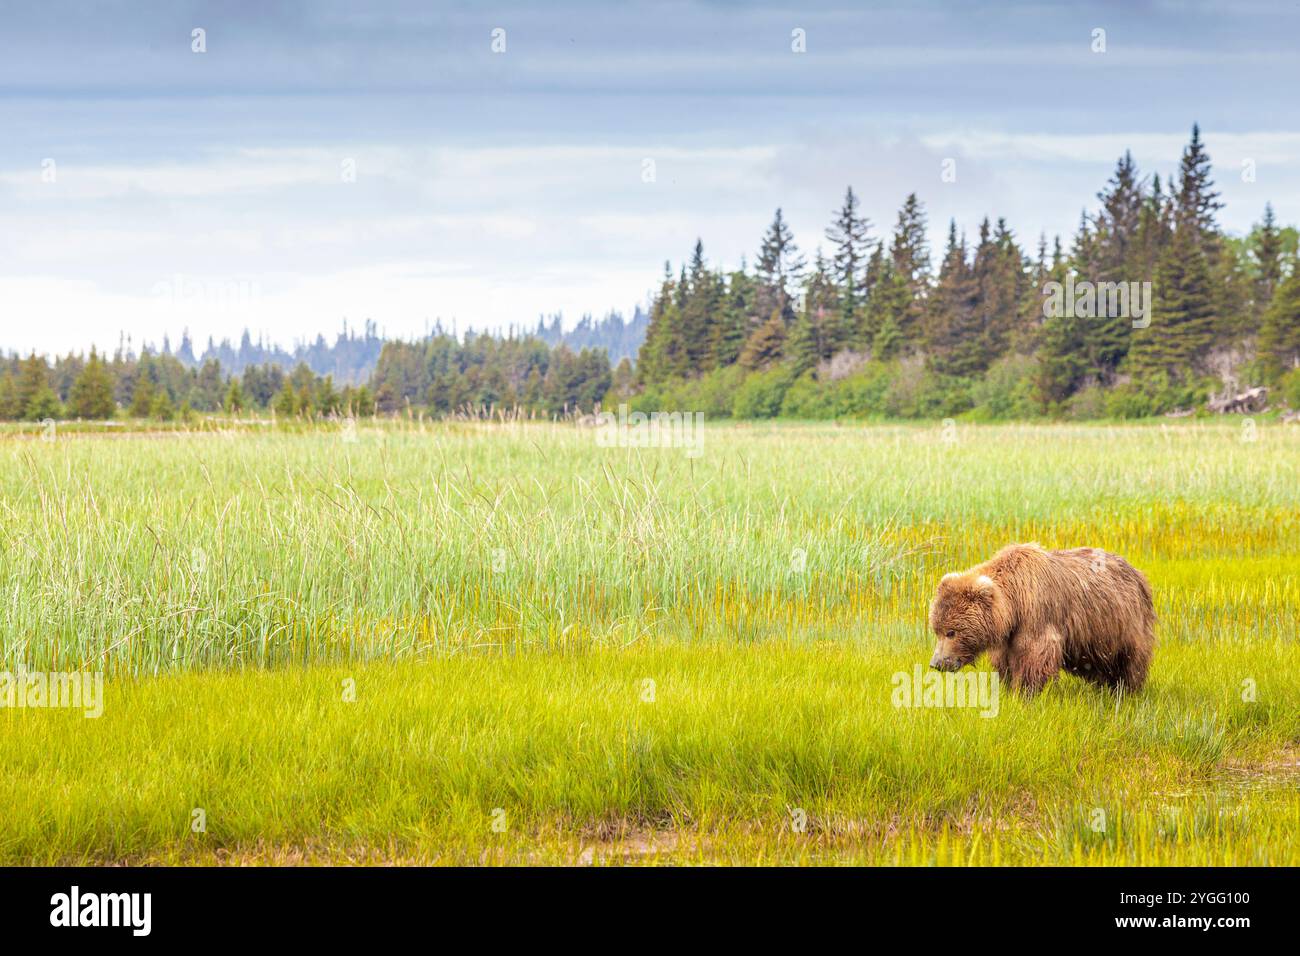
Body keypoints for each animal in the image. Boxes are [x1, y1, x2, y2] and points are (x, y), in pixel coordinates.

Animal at [928, 543, 1155, 694]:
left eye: (951, 632)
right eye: (936, 630)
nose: (937, 663)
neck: (1013, 603)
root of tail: (1138, 573)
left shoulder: (1036, 614)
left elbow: (1035, 655)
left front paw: (1026, 692)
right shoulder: (1008, 634)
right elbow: (1004, 661)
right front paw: (1007, 686)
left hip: (1126, 623)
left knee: (1130, 660)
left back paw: (1126, 690)